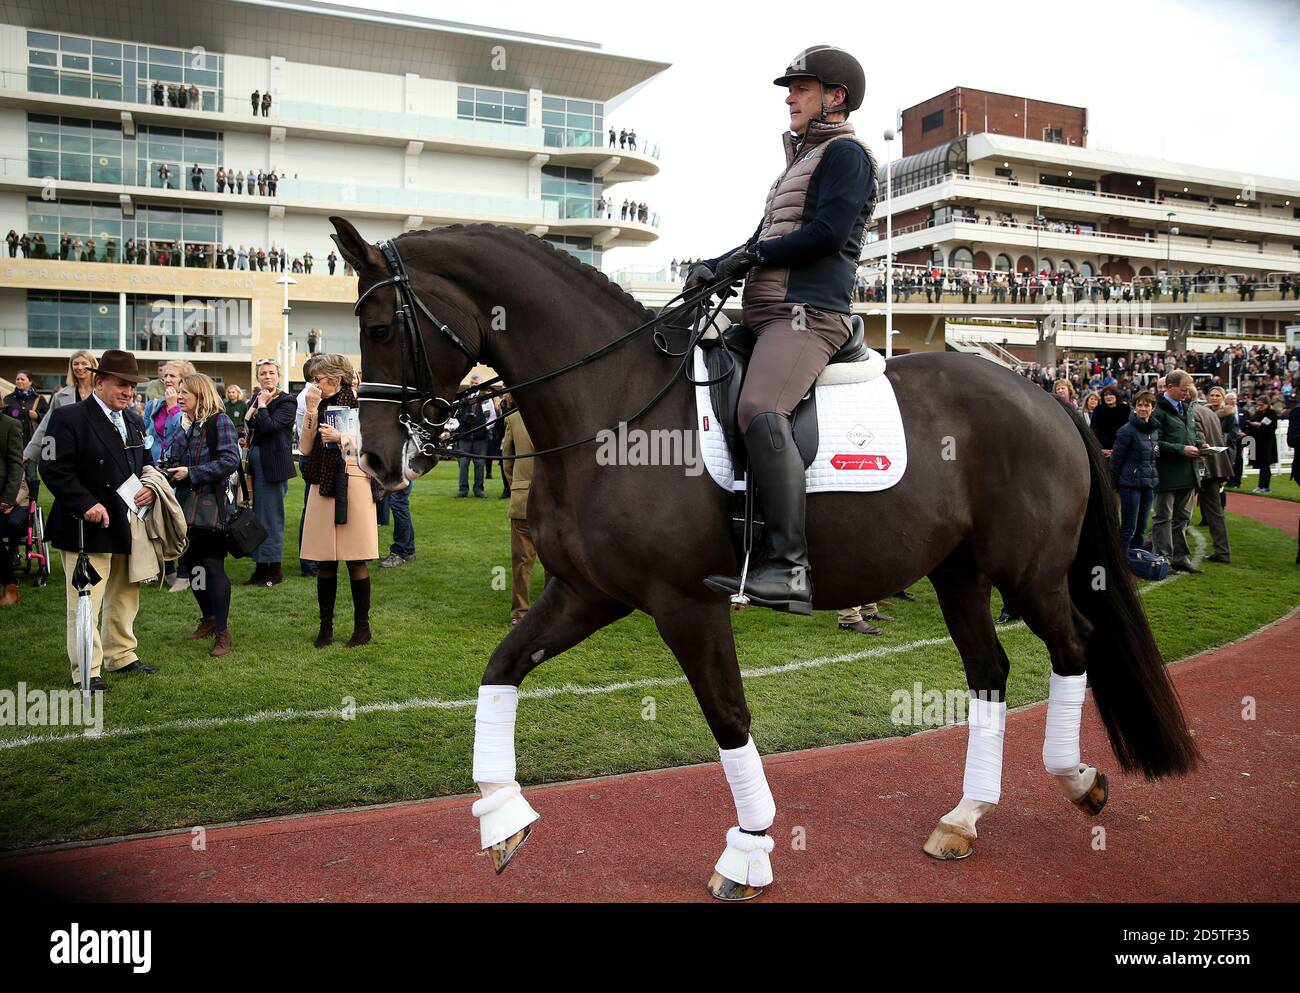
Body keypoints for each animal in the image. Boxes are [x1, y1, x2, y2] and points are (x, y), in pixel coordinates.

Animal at [328, 218, 1199, 900]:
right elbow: (502, 665)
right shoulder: (585, 593)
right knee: (990, 669)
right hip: (959, 572)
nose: (375, 460)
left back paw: (1078, 777)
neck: (615, 410)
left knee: (1075, 644)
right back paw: (966, 816)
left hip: (1029, 572)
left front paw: (748, 852)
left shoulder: (687, 604)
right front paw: (501, 816)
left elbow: (729, 716)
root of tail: (1046, 393)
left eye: (379, 329)